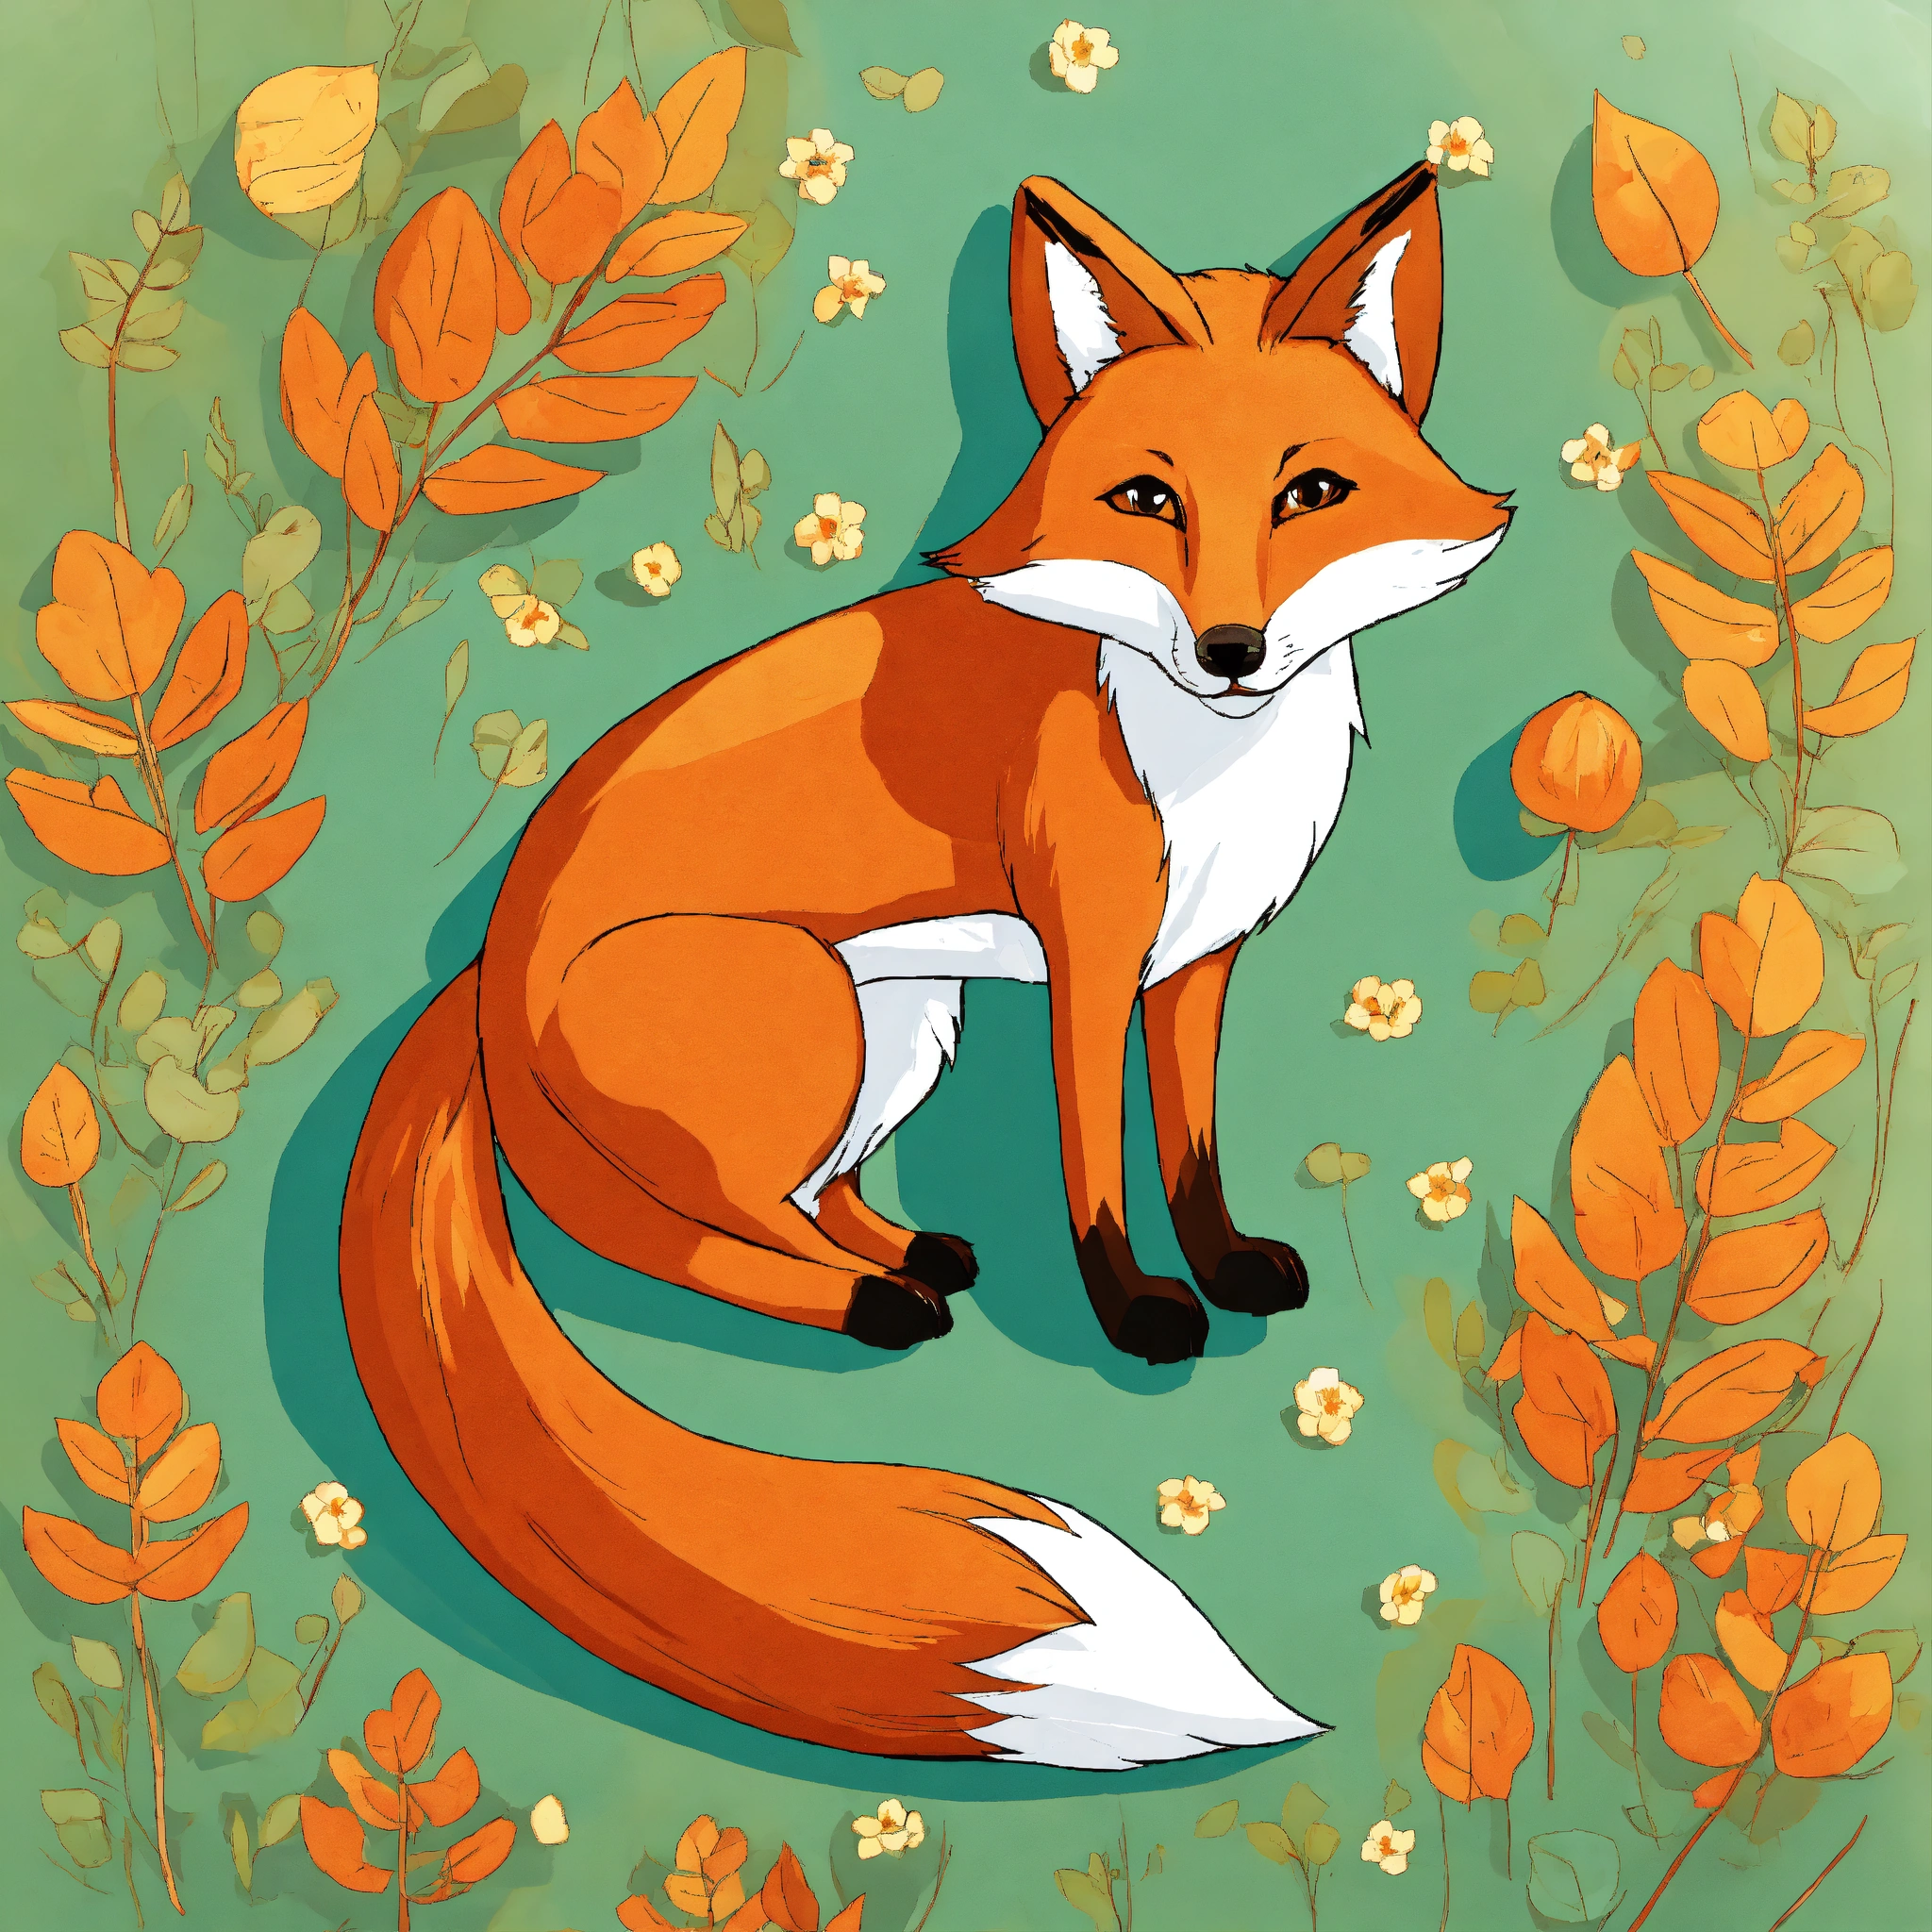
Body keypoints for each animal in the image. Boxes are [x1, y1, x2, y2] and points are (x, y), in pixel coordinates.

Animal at [340, 159, 1511, 1770]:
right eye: (1146, 500)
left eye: (1312, 496)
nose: (1231, 648)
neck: (1209, 761)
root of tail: (480, 960)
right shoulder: (1092, 962)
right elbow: (1095, 1167)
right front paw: (1142, 1312)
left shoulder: (1194, 966)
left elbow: (1190, 1146)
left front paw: (1225, 1267)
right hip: (806, 1011)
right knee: (701, 1232)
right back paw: (873, 1303)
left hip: (904, 1025)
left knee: (795, 1202)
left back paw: (902, 1258)